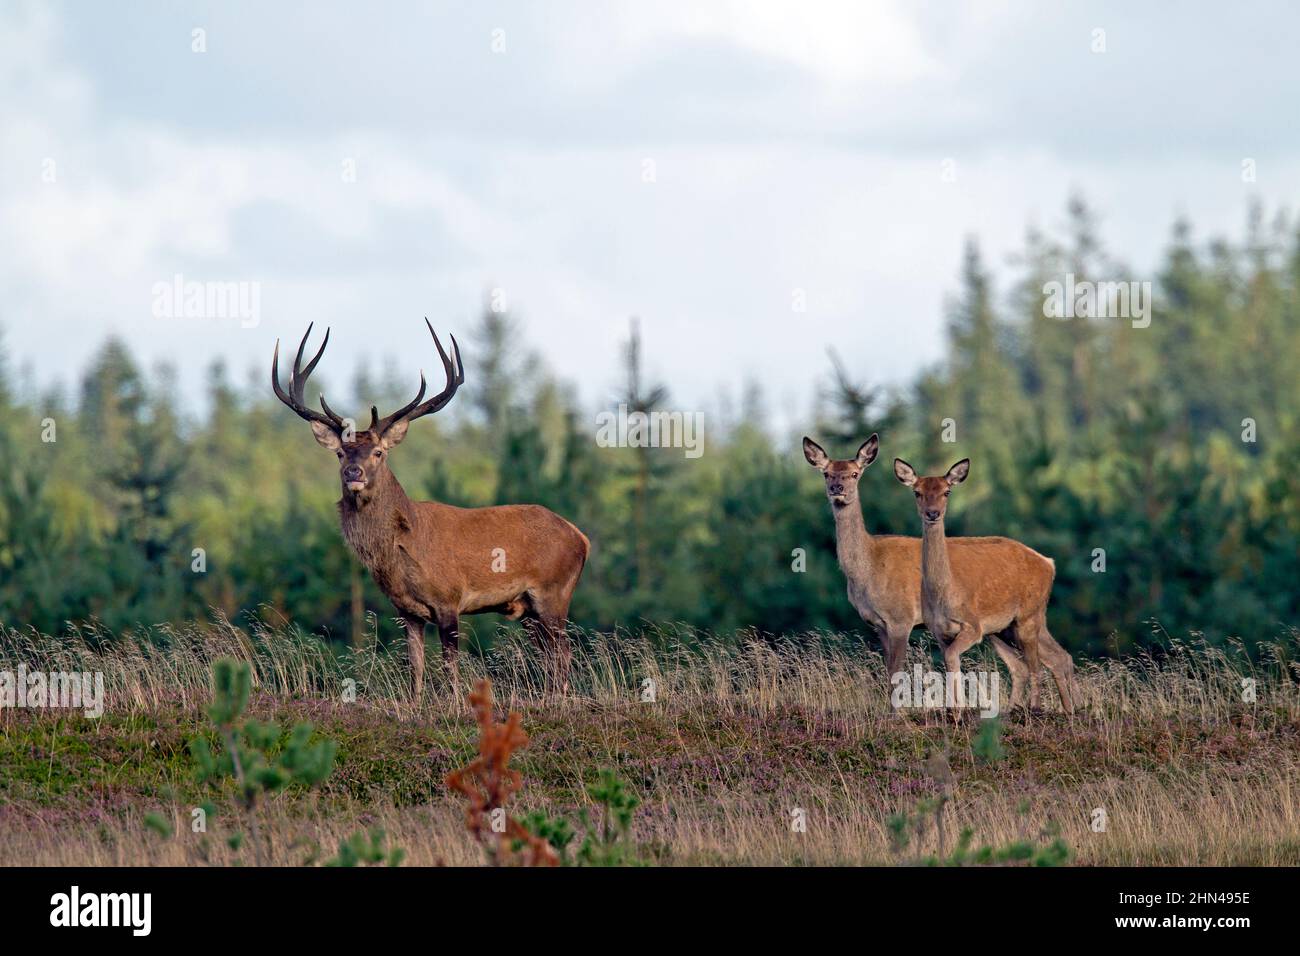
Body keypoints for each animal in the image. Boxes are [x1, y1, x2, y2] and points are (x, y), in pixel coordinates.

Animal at [271, 321, 590, 702]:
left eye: (378, 452)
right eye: (340, 453)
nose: (353, 473)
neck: (401, 554)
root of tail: (582, 538)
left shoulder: (449, 599)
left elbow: (450, 666)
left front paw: (454, 703)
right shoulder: (407, 611)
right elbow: (416, 666)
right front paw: (416, 702)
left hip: (554, 592)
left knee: (564, 653)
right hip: (528, 609)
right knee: (551, 654)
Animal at [892, 457, 1076, 715]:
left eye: (947, 491)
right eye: (917, 492)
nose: (932, 513)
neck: (943, 594)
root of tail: (1049, 564)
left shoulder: (973, 626)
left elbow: (952, 657)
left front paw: (958, 710)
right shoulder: (939, 631)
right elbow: (950, 662)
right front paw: (953, 709)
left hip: (1028, 616)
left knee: (1035, 664)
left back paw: (1037, 709)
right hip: (1005, 628)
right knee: (1036, 662)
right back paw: (1062, 709)